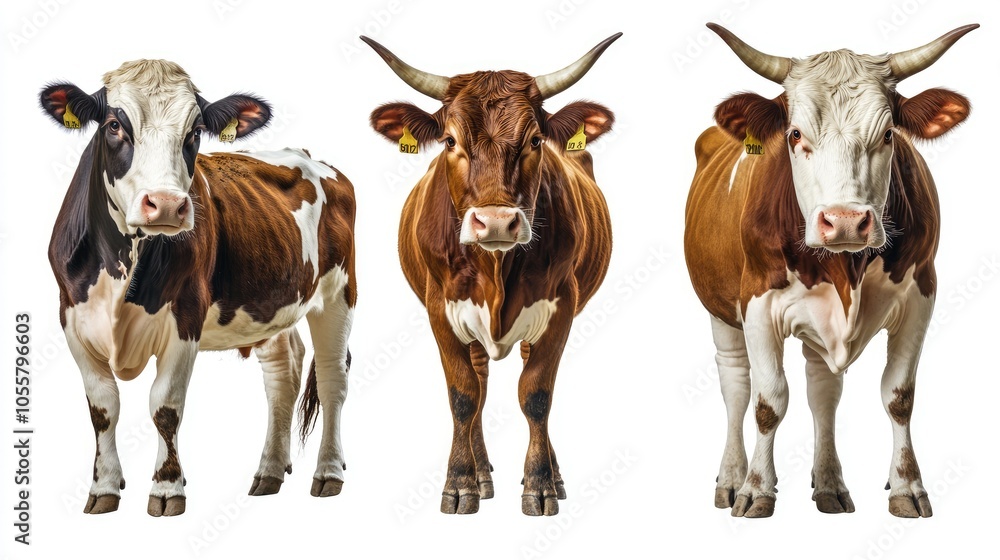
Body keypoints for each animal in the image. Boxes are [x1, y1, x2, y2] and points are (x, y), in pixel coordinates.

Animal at [39, 59, 356, 516]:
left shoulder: (185, 319)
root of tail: (312, 159)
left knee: (332, 376)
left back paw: (328, 473)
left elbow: (165, 407)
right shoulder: (72, 320)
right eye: (115, 125)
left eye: (194, 131)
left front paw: (167, 488)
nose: (167, 204)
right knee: (284, 373)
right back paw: (269, 472)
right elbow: (103, 409)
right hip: (268, 305)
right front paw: (103, 488)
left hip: (338, 293)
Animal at [363, 34, 620, 516]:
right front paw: (460, 483)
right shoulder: (440, 309)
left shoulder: (561, 308)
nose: (497, 222)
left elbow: (536, 394)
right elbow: (463, 396)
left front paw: (540, 485)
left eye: (536, 139)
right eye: (449, 140)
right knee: (479, 383)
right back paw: (481, 473)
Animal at [684, 24, 976, 518]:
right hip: (719, 308)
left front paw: (906, 486)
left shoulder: (921, 295)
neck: (846, 269)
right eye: (794, 133)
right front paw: (756, 489)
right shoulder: (757, 304)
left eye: (888, 134)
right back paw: (730, 477)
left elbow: (898, 397)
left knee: (822, 391)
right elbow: (768, 401)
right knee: (736, 386)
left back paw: (829, 484)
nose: (843, 220)